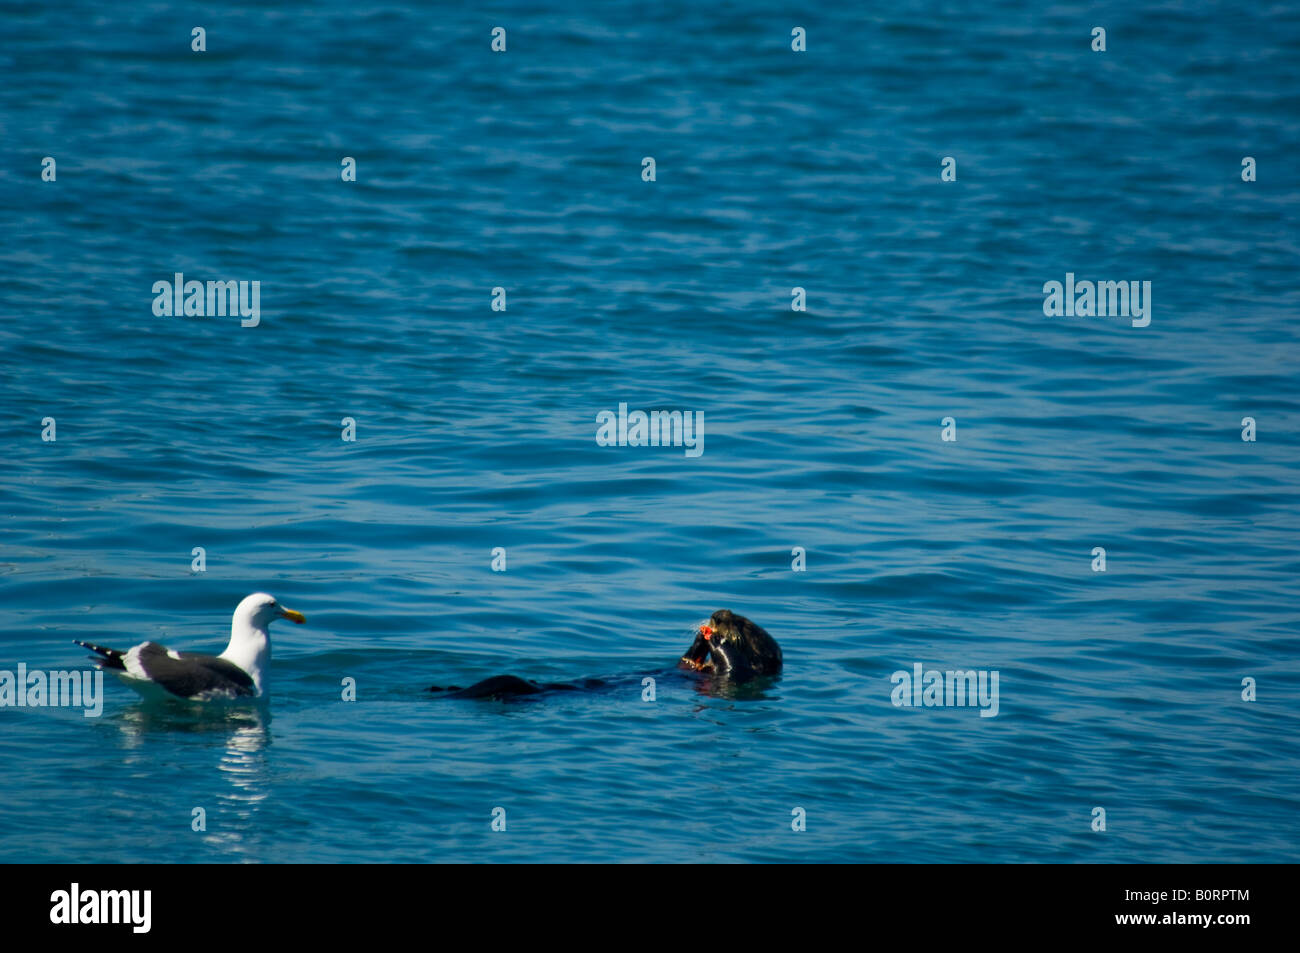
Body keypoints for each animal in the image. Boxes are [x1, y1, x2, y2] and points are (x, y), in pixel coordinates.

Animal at [428, 609, 782, 700]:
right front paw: (699, 639)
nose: (718, 614)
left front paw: (718, 640)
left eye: (742, 623)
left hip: (514, 686)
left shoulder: (738, 675)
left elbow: (734, 664)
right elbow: (684, 663)